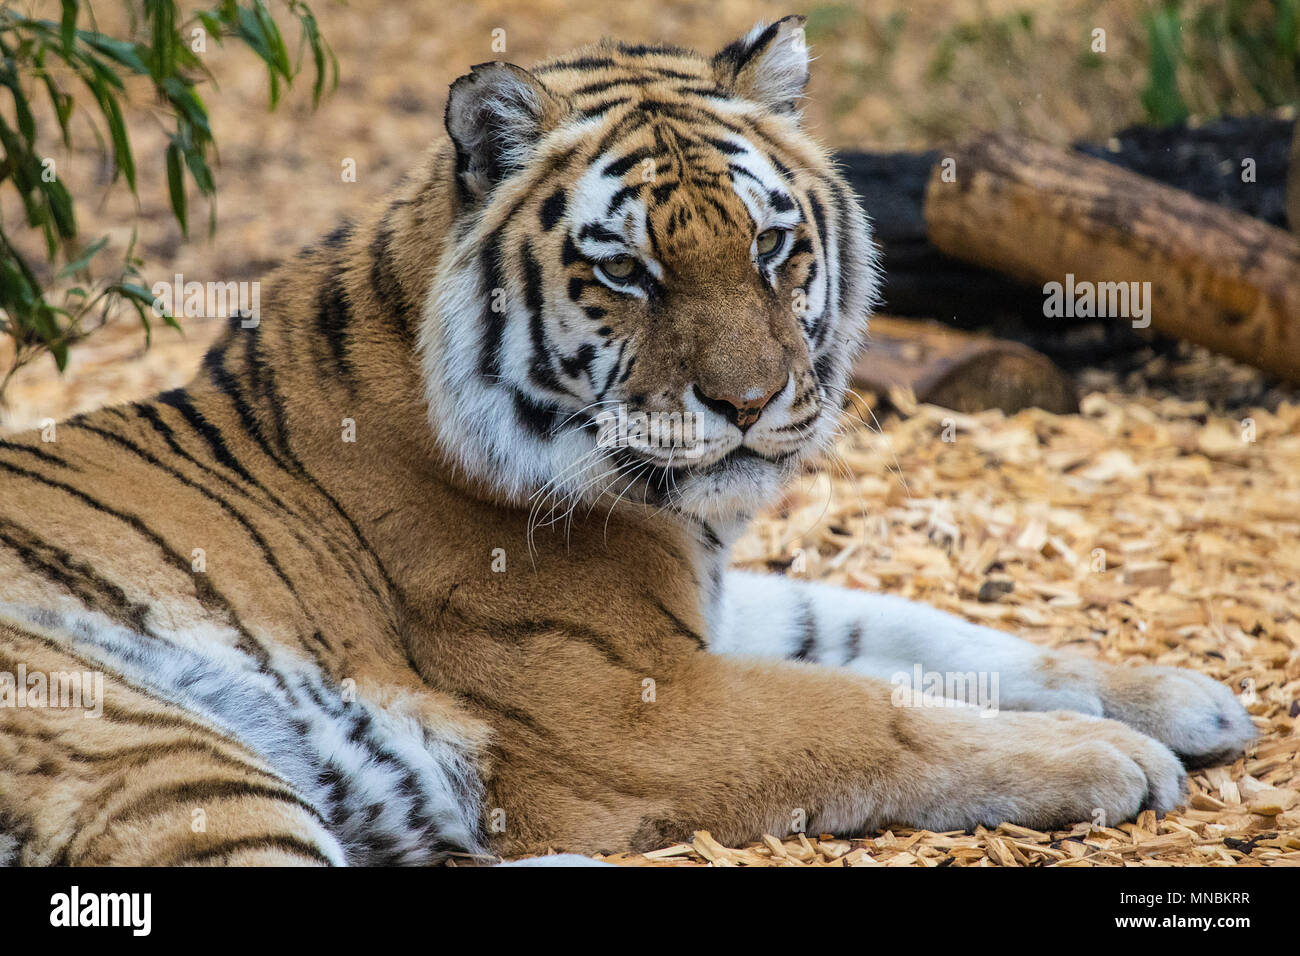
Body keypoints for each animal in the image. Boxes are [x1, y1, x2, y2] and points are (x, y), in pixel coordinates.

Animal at [0, 16, 1255, 866]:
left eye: (770, 248)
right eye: (626, 271)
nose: (750, 401)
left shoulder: (698, 606)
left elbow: (910, 627)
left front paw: (1181, 695)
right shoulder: (637, 706)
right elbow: (869, 710)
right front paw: (1104, 754)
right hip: (148, 740)